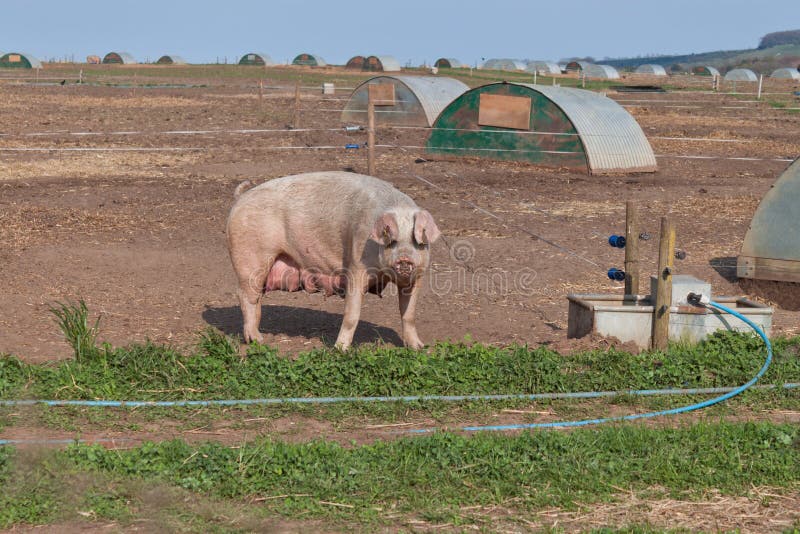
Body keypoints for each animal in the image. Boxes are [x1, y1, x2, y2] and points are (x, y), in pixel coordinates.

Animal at [226, 171, 441, 350]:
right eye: (391, 240)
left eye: (417, 240)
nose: (405, 259)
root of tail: (240, 197)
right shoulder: (356, 267)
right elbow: (352, 314)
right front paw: (341, 349)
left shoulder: (417, 277)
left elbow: (409, 314)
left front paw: (419, 348)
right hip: (250, 259)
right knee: (245, 296)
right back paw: (257, 341)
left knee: (256, 299)